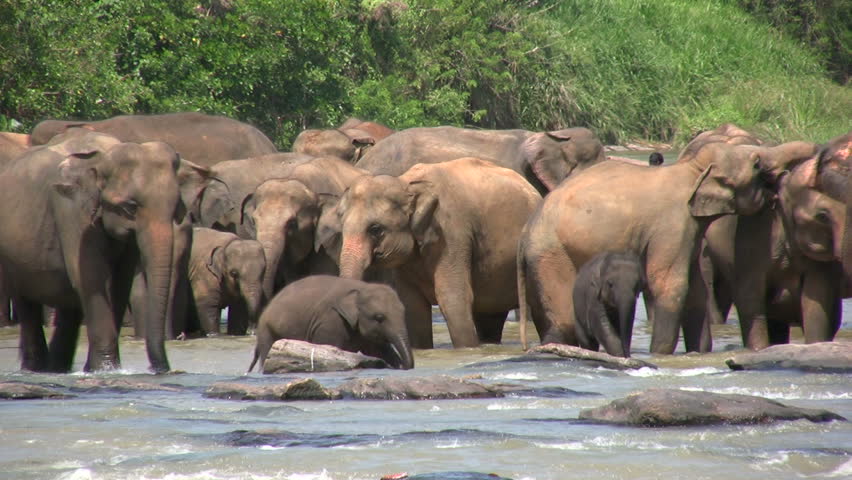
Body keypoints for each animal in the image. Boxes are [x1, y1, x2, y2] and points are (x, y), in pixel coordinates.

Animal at [0, 131, 183, 372]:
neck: (104, 154)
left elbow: (119, 285)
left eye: (177, 207)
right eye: (130, 207)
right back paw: (36, 368)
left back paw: (58, 368)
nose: (161, 369)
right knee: (27, 304)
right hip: (10, 257)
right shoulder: (72, 211)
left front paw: (100, 369)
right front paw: (105, 370)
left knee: (69, 306)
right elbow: (90, 279)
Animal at [248, 275, 414, 372]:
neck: (361, 287)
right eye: (379, 317)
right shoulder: (330, 322)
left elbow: (381, 349)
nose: (405, 367)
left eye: (404, 312)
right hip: (267, 331)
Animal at [318, 157, 542, 349]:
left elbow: (452, 298)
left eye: (375, 229)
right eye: (342, 227)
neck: (406, 183)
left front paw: (466, 351)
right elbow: (413, 305)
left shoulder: (452, 233)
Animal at [518, 141, 773, 355]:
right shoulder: (672, 226)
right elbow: (670, 285)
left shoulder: (691, 232)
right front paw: (660, 354)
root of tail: (527, 228)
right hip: (552, 254)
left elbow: (696, 291)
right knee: (564, 319)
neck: (692, 170)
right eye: (756, 165)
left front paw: (698, 353)